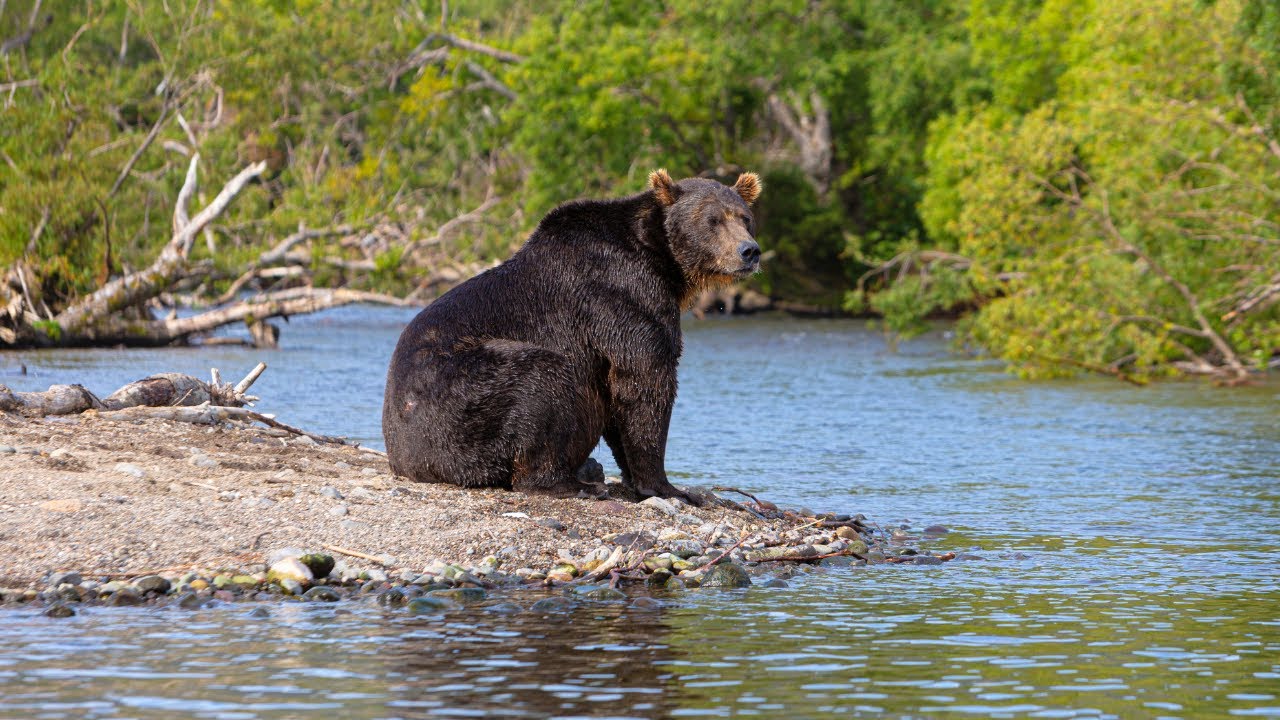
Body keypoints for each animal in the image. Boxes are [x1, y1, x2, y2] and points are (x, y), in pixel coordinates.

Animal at [382, 169, 762, 504]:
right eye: (712, 220)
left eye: (744, 218)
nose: (750, 251)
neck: (663, 261)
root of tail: (402, 459)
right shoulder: (621, 297)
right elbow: (644, 381)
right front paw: (669, 487)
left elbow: (617, 398)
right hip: (460, 397)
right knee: (541, 379)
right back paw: (574, 484)